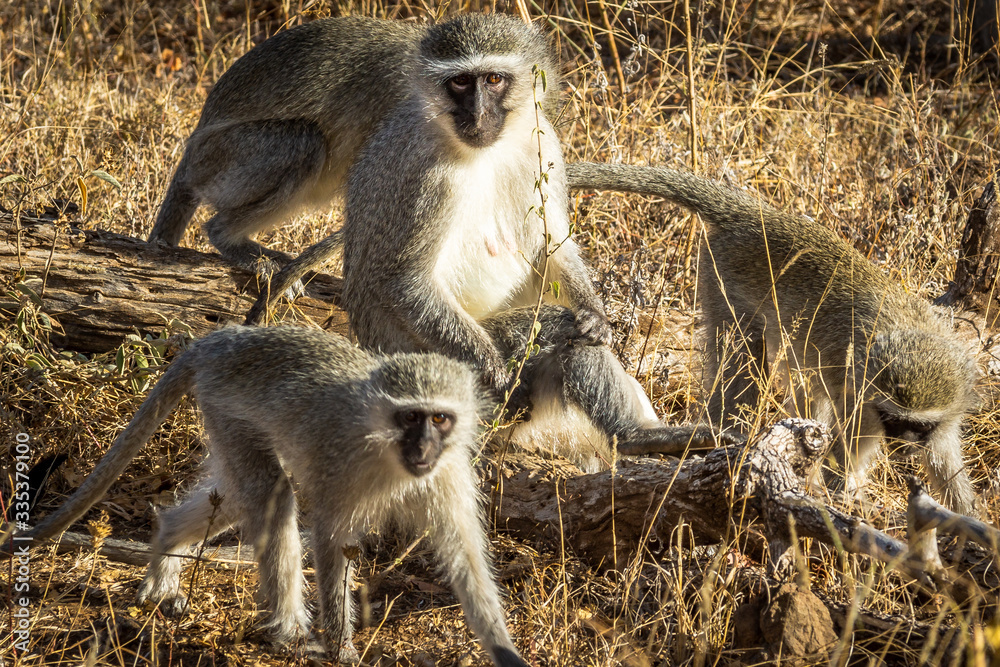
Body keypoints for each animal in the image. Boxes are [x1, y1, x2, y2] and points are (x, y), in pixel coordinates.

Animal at [20, 326, 530, 667]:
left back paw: (166, 550)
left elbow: (464, 556)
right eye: (410, 418)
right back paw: (288, 631)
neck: (388, 451)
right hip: (225, 408)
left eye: (439, 419)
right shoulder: (341, 468)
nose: (423, 449)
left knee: (234, 496)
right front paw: (342, 647)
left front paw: (503, 648)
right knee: (271, 493)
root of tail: (219, 340)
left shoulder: (448, 475)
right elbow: (331, 542)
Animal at [565, 161, 980, 514]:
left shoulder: (949, 406)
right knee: (741, 365)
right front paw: (849, 505)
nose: (906, 448)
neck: (909, 328)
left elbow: (945, 462)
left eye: (920, 426)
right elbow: (843, 458)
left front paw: (969, 526)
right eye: (894, 418)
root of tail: (762, 217)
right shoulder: (862, 403)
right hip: (722, 276)